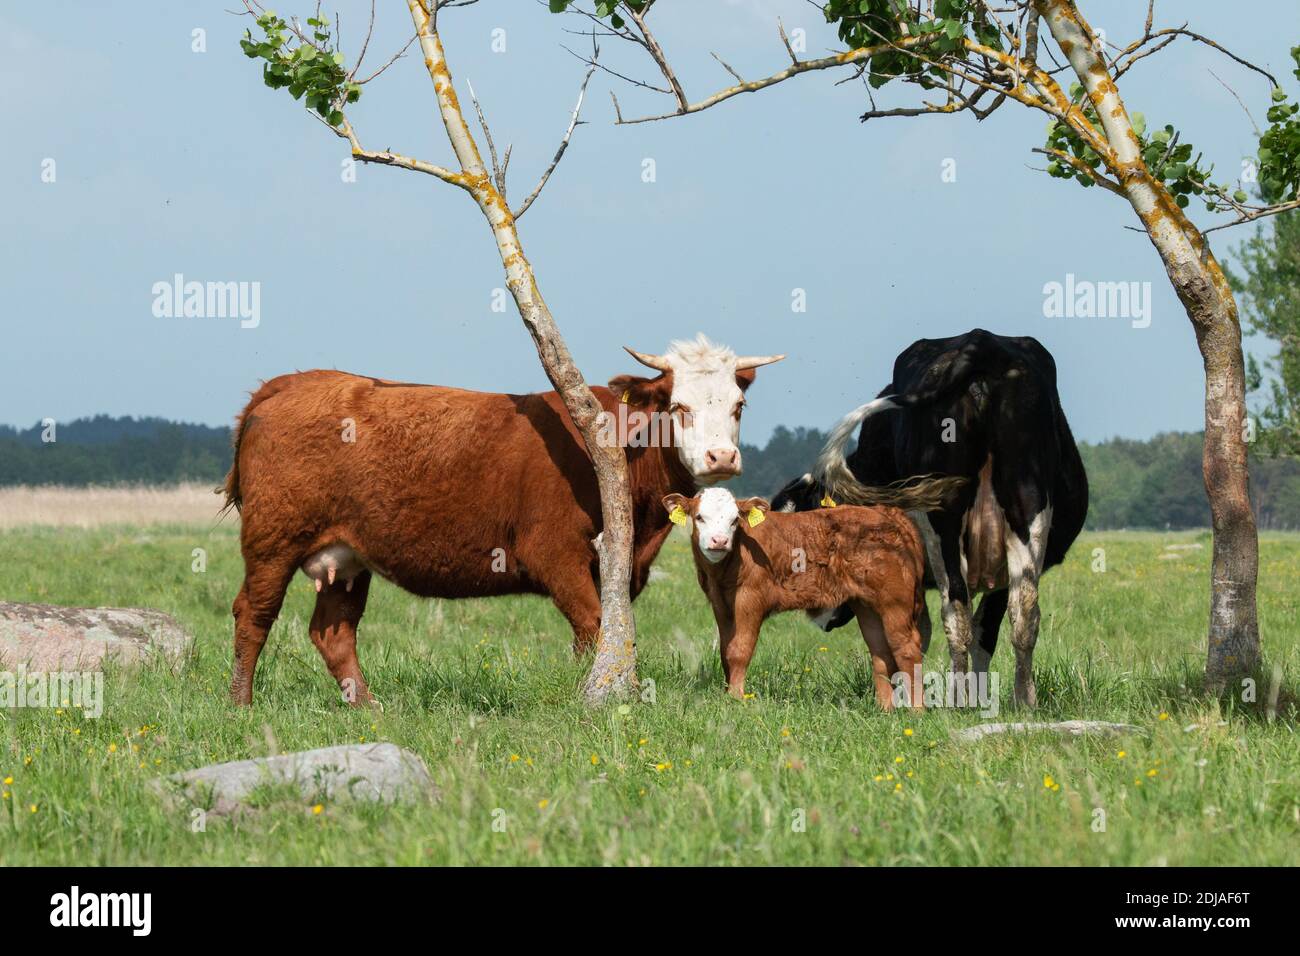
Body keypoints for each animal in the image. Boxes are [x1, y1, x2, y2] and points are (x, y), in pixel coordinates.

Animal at [221, 335, 783, 705]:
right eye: (678, 405)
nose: (721, 457)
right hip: (272, 543)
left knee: (334, 632)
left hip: (347, 556)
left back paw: (368, 707)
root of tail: (290, 383)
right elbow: (594, 627)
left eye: (739, 404)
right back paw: (241, 705)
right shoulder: (556, 554)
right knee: (254, 614)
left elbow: (598, 630)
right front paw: (592, 694)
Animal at [664, 487, 934, 709]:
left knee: (907, 649)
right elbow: (724, 650)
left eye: (734, 520)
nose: (719, 541)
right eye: (699, 517)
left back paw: (916, 711)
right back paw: (885, 709)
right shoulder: (720, 604)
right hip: (867, 606)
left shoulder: (750, 598)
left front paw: (736, 698)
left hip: (895, 603)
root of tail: (888, 513)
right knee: (880, 653)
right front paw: (728, 692)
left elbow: (739, 650)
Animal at [771, 329, 1088, 708]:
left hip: (941, 522)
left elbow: (919, 633)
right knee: (1022, 612)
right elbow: (986, 630)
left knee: (956, 613)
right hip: (1027, 506)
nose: (815, 613)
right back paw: (1024, 700)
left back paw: (955, 700)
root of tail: (982, 343)